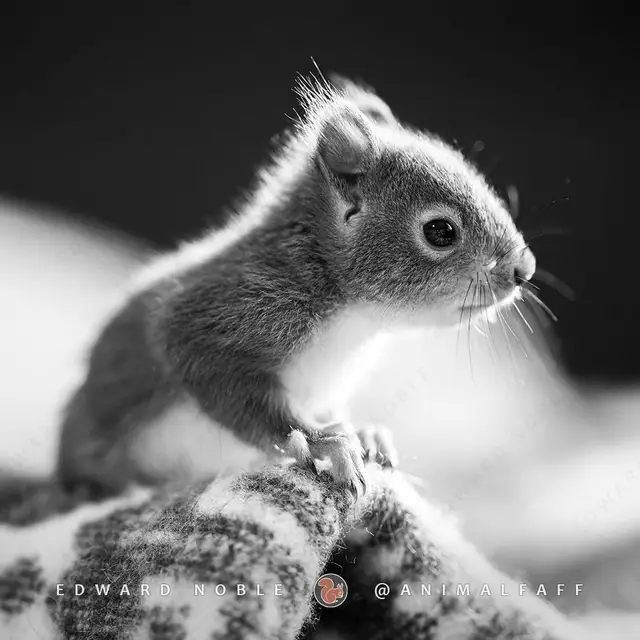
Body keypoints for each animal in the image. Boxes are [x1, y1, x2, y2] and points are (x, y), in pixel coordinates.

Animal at [55, 73, 536, 499]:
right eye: (440, 231)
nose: (524, 270)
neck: (350, 313)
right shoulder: (224, 316)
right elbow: (227, 387)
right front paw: (325, 442)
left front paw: (367, 432)